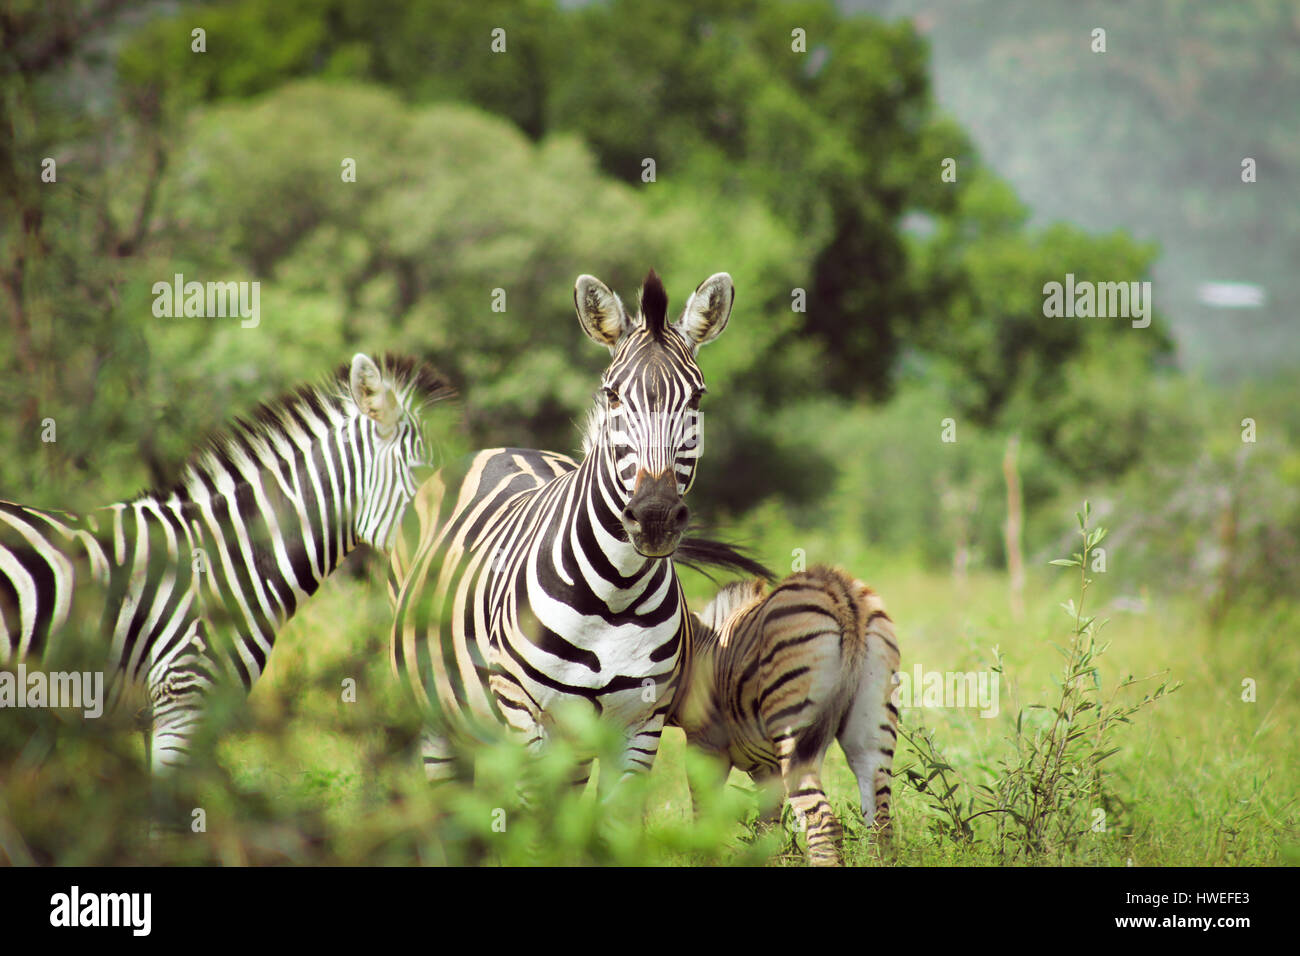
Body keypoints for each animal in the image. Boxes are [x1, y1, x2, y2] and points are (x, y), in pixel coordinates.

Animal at [389, 269, 734, 790]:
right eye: (612, 395)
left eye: (696, 397)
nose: (654, 516)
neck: (615, 597)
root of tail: (503, 448)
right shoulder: (523, 715)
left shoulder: (641, 725)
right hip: (437, 717)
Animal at [669, 565, 900, 866]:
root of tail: (839, 589)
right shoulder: (765, 768)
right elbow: (768, 828)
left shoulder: (706, 746)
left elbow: (704, 811)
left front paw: (701, 857)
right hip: (872, 732)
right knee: (880, 820)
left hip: (795, 733)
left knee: (823, 820)